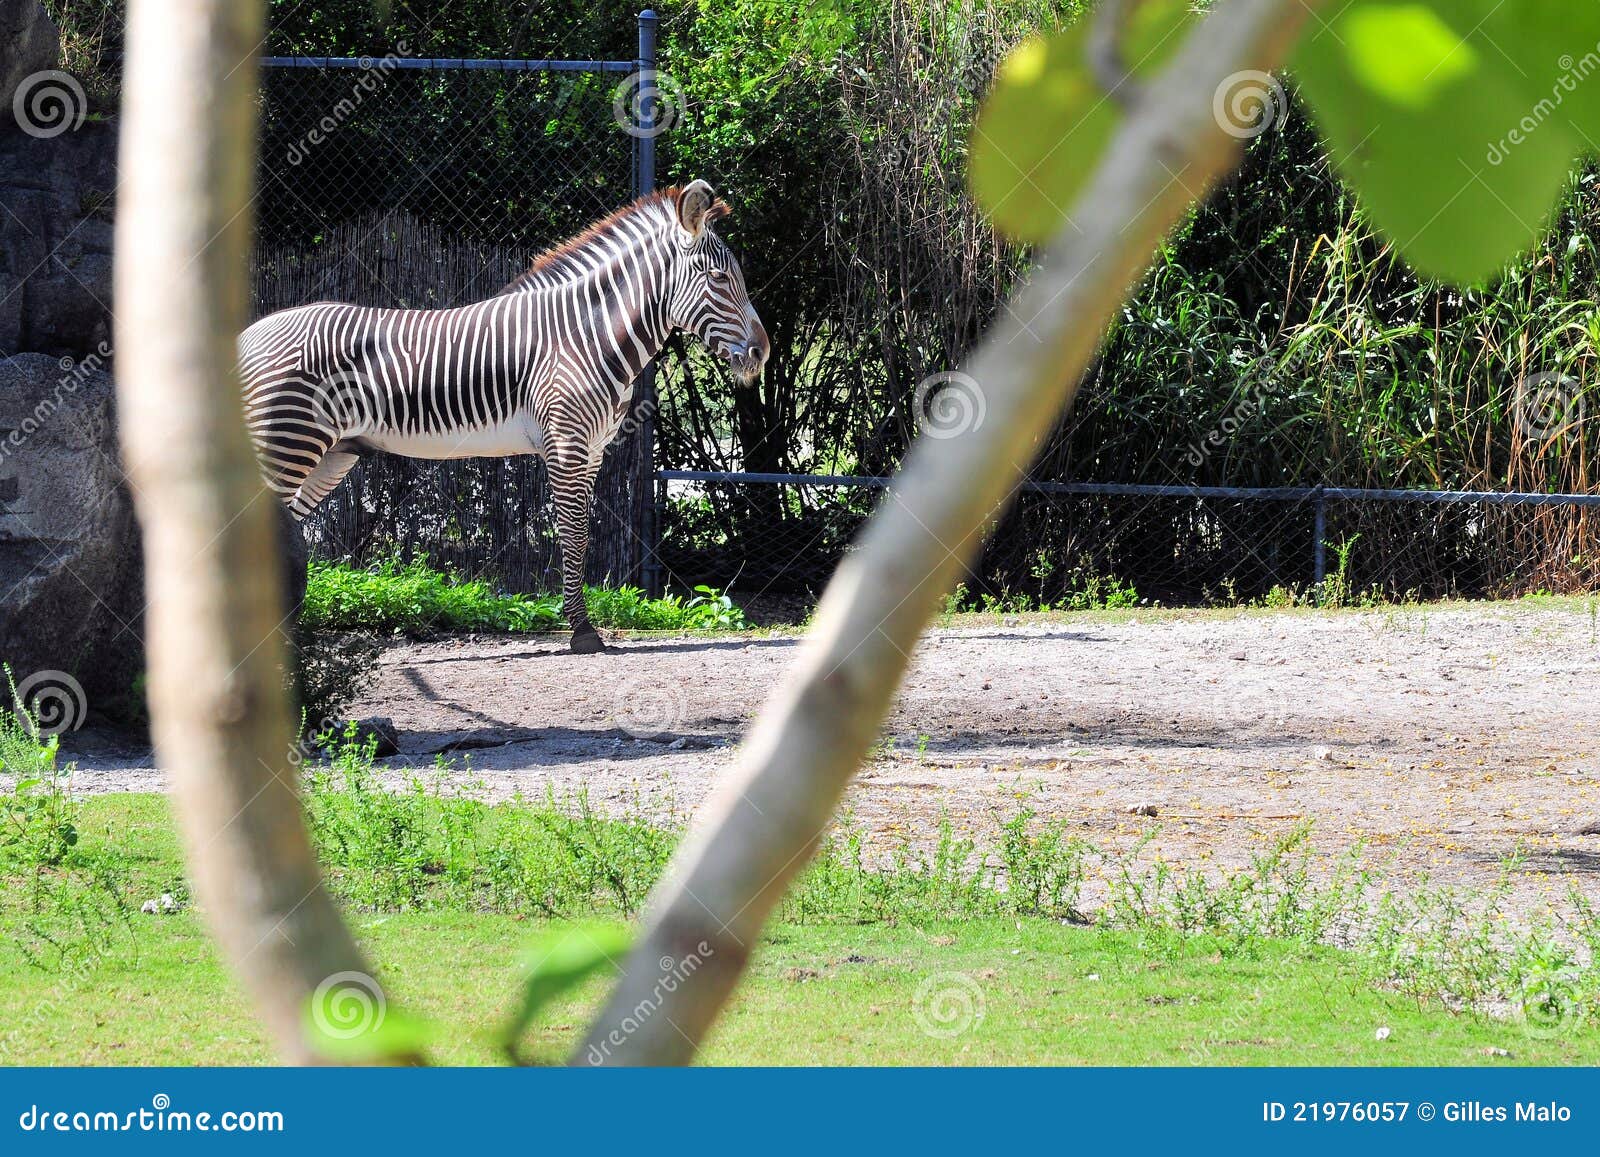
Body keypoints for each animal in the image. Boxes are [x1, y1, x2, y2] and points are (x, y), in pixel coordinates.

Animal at [238, 181, 768, 653]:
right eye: (720, 279)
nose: (762, 353)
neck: (585, 335)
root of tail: (247, 336)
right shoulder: (567, 443)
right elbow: (574, 535)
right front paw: (582, 633)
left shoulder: (593, 450)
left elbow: (581, 536)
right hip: (287, 442)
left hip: (331, 454)